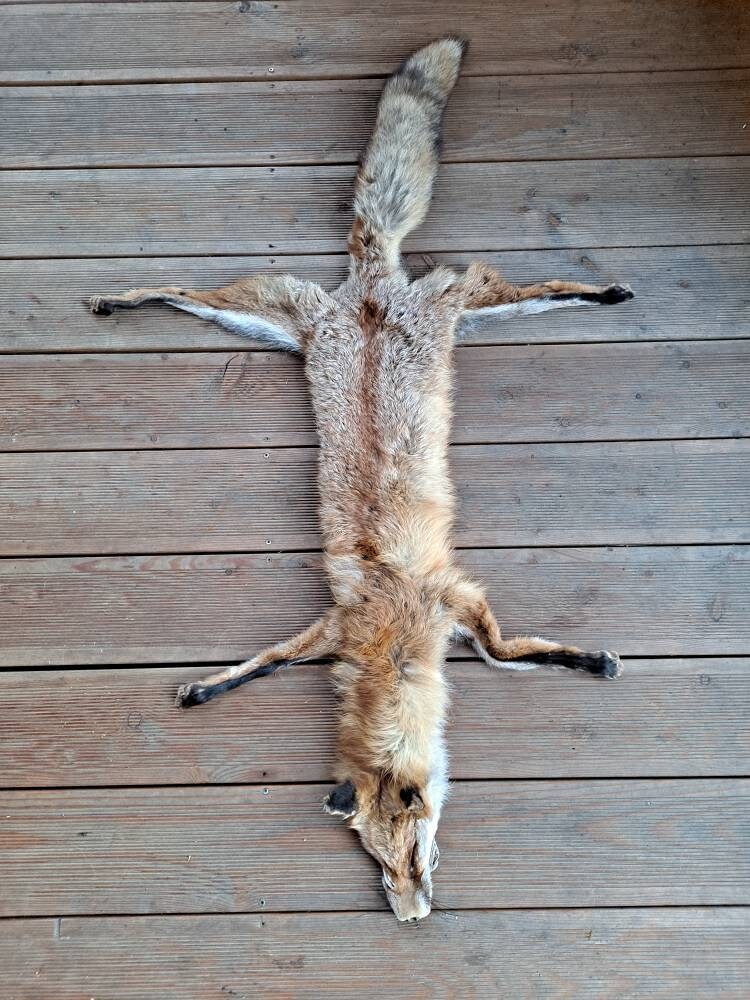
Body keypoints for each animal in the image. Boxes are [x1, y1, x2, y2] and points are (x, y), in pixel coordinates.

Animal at [89, 38, 633, 922]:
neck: (391, 641)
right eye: (380, 865)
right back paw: (123, 295)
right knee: (180, 293)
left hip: (458, 307)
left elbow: (506, 651)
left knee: (536, 290)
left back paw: (600, 288)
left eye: (417, 854)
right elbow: (266, 662)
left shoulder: (453, 601)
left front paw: (584, 661)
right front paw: (209, 689)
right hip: (268, 319)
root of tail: (373, 289)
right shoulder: (337, 626)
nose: (410, 920)